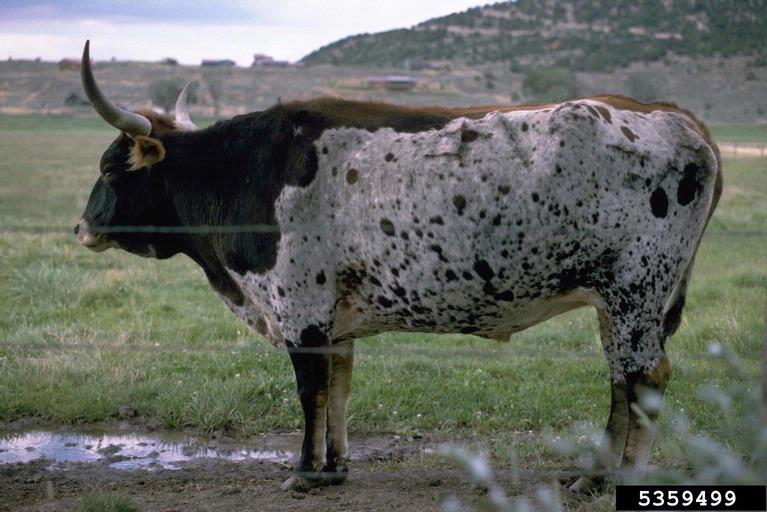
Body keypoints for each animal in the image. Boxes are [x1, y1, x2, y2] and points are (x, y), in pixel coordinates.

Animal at [74, 41, 721, 492]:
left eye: (108, 169)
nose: (80, 228)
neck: (241, 172)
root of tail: (677, 117)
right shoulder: (332, 319)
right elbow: (337, 387)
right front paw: (334, 467)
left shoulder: (301, 310)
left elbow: (309, 390)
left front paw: (302, 472)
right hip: (615, 303)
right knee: (620, 380)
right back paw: (591, 475)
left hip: (636, 293)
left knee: (645, 378)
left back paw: (619, 479)